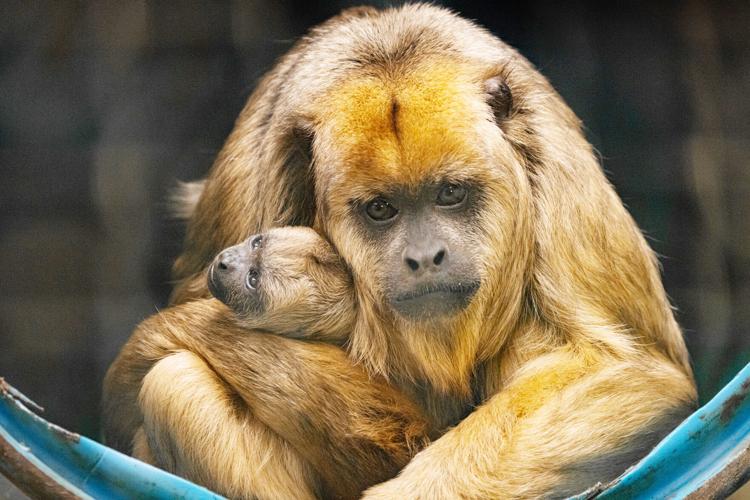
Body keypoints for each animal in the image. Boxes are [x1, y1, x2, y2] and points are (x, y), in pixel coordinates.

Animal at [103, 4, 698, 499]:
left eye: (451, 193)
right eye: (380, 209)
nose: (425, 257)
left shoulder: (554, 164)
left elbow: (637, 373)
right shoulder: (252, 180)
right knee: (176, 387)